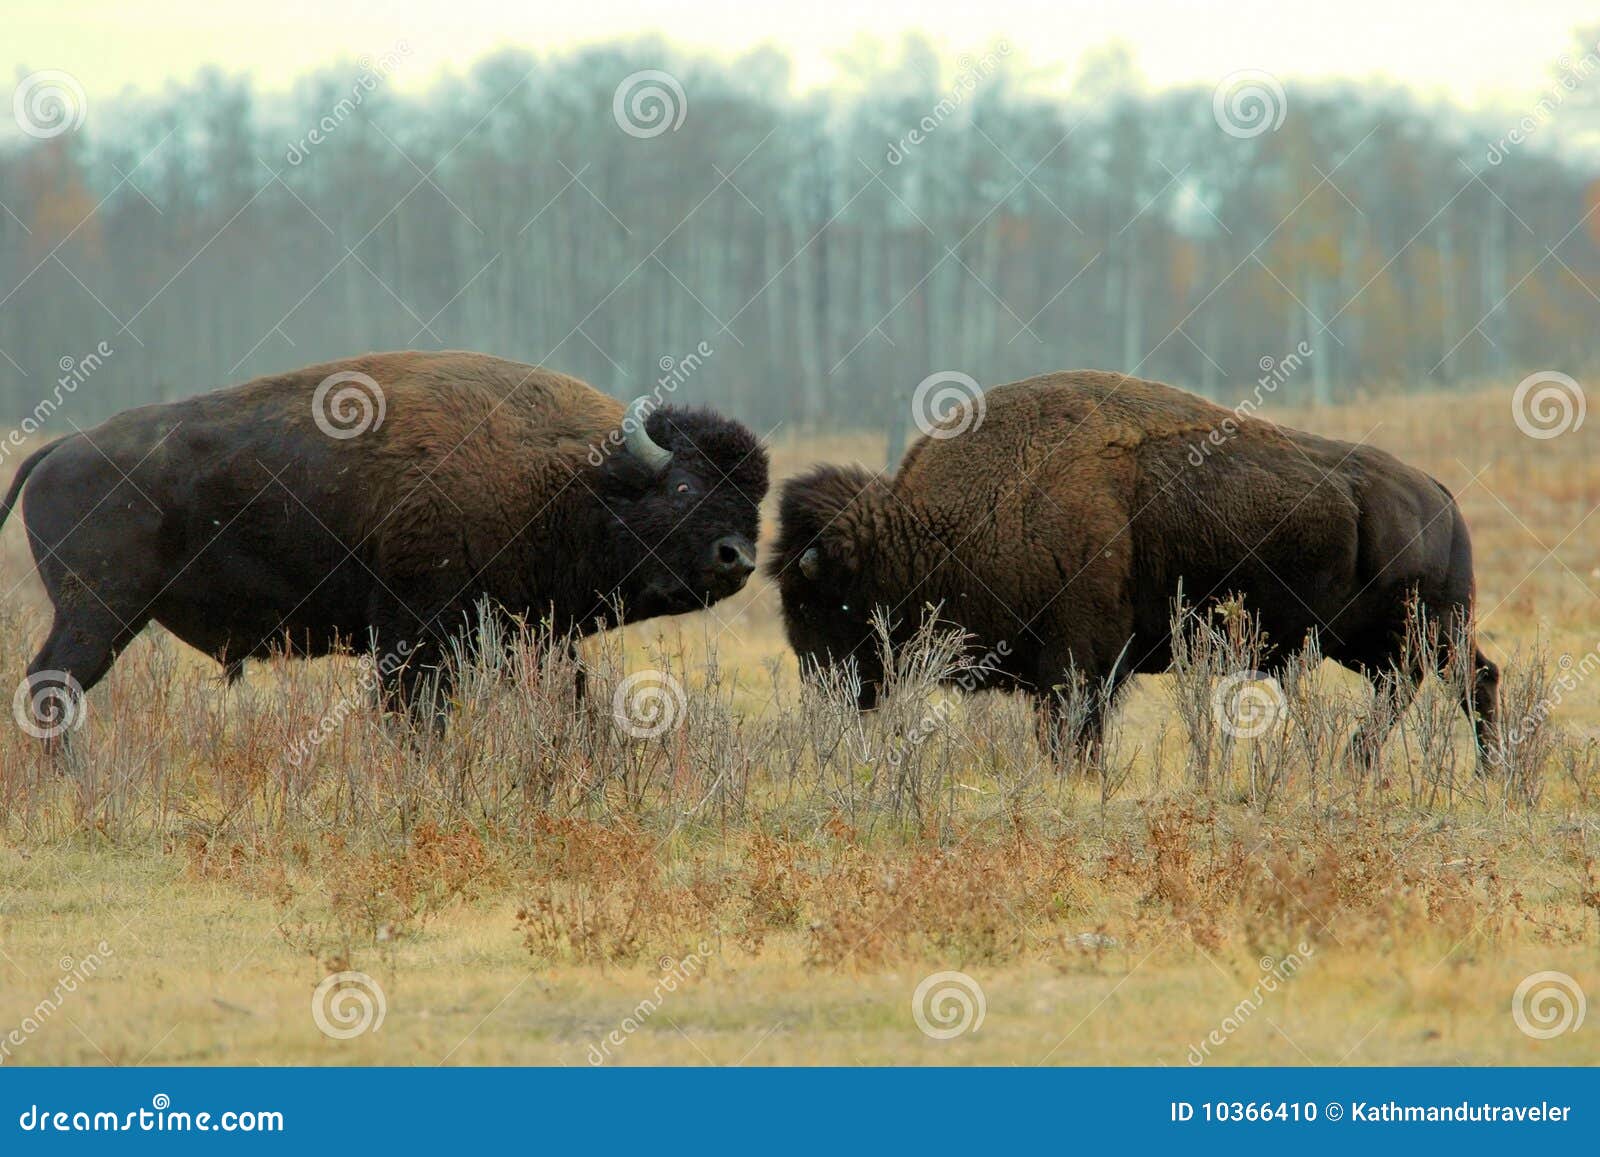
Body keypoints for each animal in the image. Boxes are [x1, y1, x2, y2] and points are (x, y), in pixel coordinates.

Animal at [1, 350, 767, 731]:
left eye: (755, 499)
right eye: (682, 488)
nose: (738, 557)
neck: (574, 477)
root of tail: (61, 447)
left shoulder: (538, 636)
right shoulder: (415, 637)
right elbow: (413, 716)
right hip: (99, 613)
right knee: (52, 686)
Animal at [769, 369, 1499, 768]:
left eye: (824, 601)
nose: (828, 693)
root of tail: (1438, 495)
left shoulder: (1078, 663)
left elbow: (1074, 736)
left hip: (1427, 631)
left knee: (1461, 684)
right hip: (1378, 642)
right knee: (1444, 685)